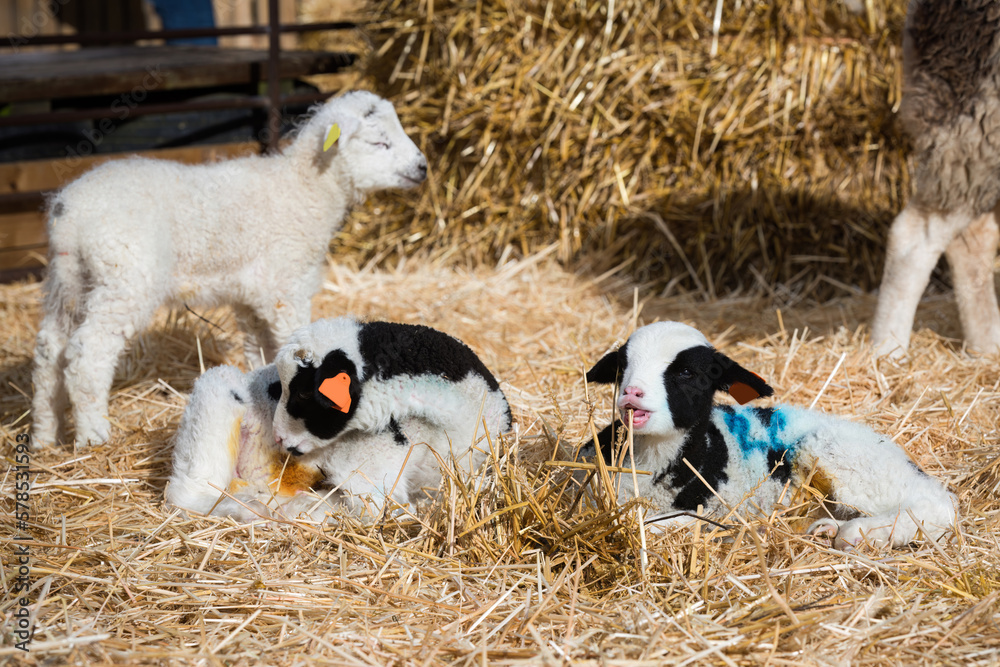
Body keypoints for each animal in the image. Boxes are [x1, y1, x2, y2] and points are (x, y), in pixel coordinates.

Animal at [31, 90, 428, 448]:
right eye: (379, 142)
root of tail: (70, 212)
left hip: (70, 281)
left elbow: (262, 352)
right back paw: (92, 434)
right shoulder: (287, 287)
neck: (306, 188)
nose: (423, 168)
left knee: (50, 350)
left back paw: (44, 436)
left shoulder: (252, 297)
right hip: (123, 279)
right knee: (88, 353)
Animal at [166, 317, 512, 520]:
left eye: (305, 393)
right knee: (190, 492)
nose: (277, 438)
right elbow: (378, 510)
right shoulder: (365, 475)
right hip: (214, 397)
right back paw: (250, 509)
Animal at [583, 321, 958, 549]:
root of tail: (907, 461)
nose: (631, 393)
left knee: (934, 506)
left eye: (687, 372)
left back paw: (857, 534)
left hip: (847, 460)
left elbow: (650, 521)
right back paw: (827, 528)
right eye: (622, 366)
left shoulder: (713, 509)